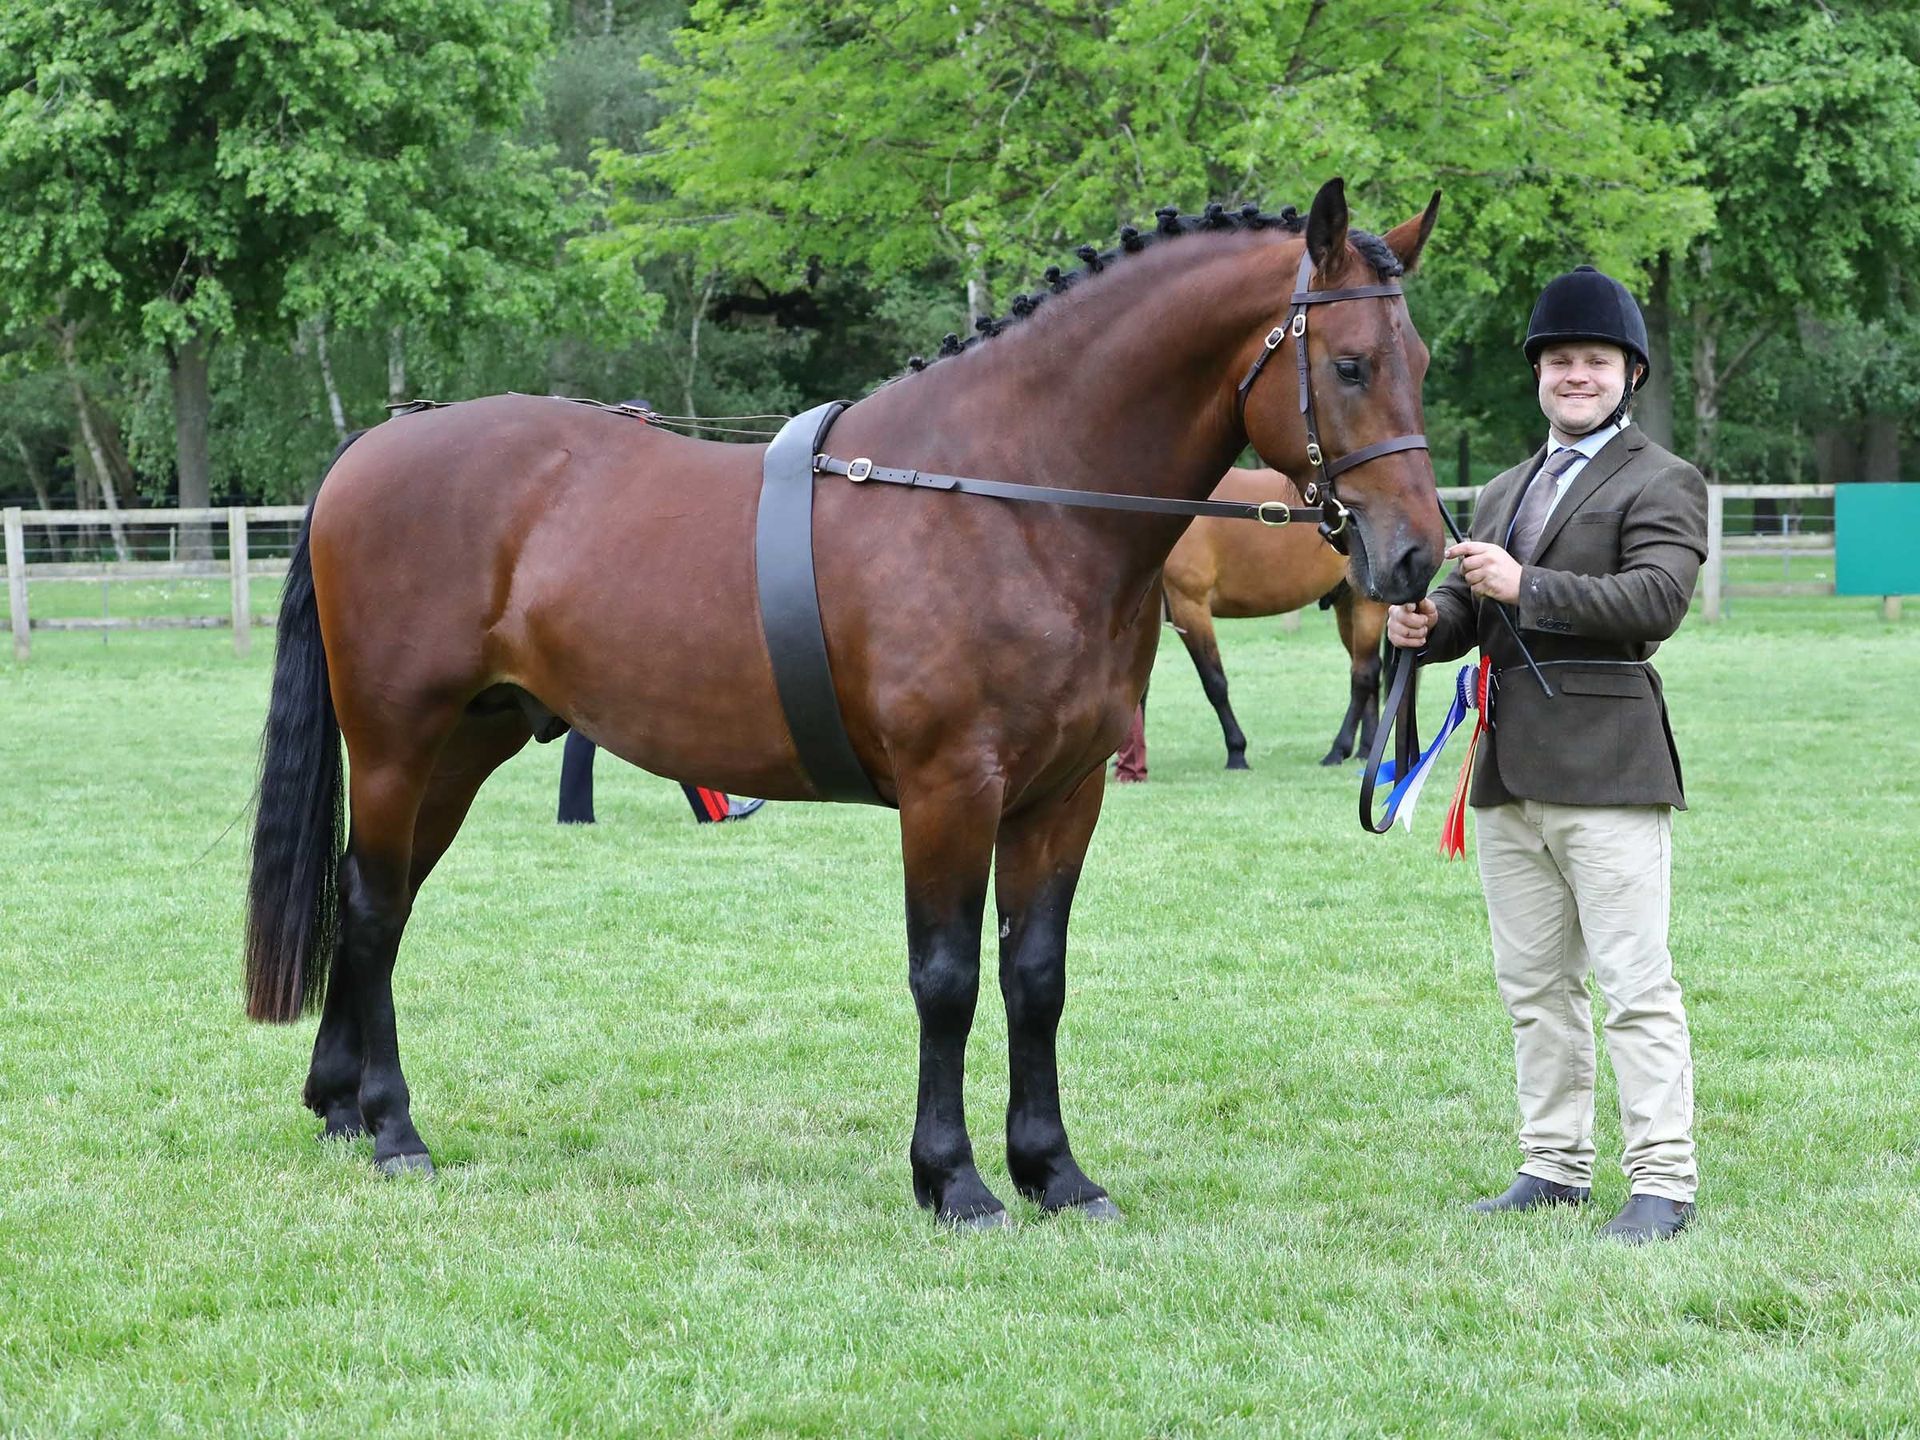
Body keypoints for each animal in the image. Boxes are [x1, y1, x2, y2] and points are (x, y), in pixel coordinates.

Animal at [1145, 466, 1389, 772]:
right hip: (1348, 606)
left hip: (1367, 606)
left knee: (1363, 674)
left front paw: (1237, 752)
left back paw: (1338, 750)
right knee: (1369, 669)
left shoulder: (1189, 604)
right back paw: (1365, 750)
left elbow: (1214, 682)